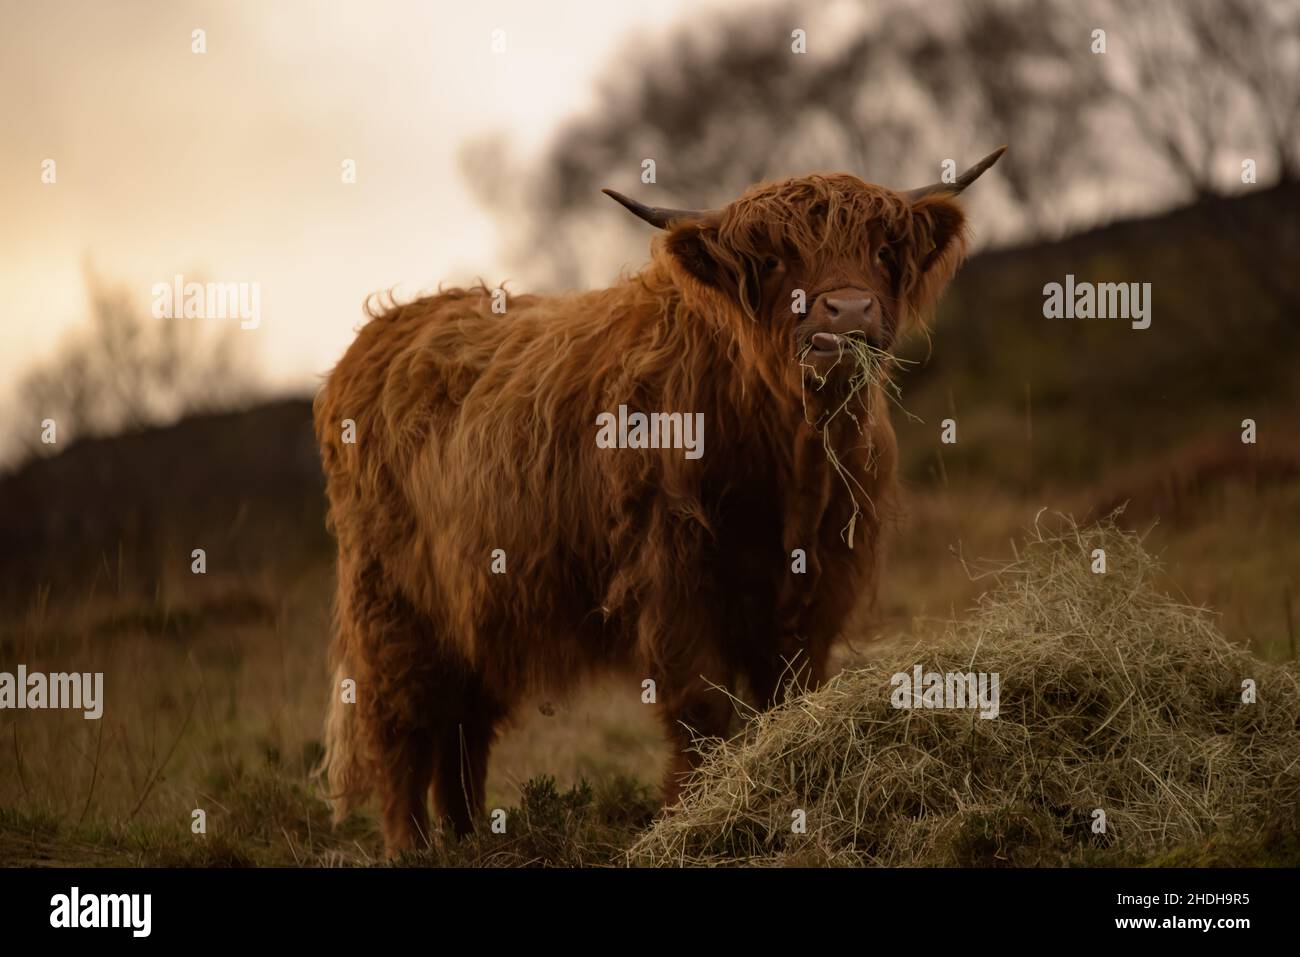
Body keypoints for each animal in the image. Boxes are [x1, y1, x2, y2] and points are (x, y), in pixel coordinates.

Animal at [313, 148, 1006, 855]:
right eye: (773, 259)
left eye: (884, 250)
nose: (847, 312)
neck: (790, 465)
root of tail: (387, 327)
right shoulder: (672, 581)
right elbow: (701, 710)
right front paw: (689, 816)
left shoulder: (817, 590)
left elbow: (789, 698)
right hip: (390, 605)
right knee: (400, 724)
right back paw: (411, 846)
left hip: (475, 608)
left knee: (464, 724)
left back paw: (469, 841)